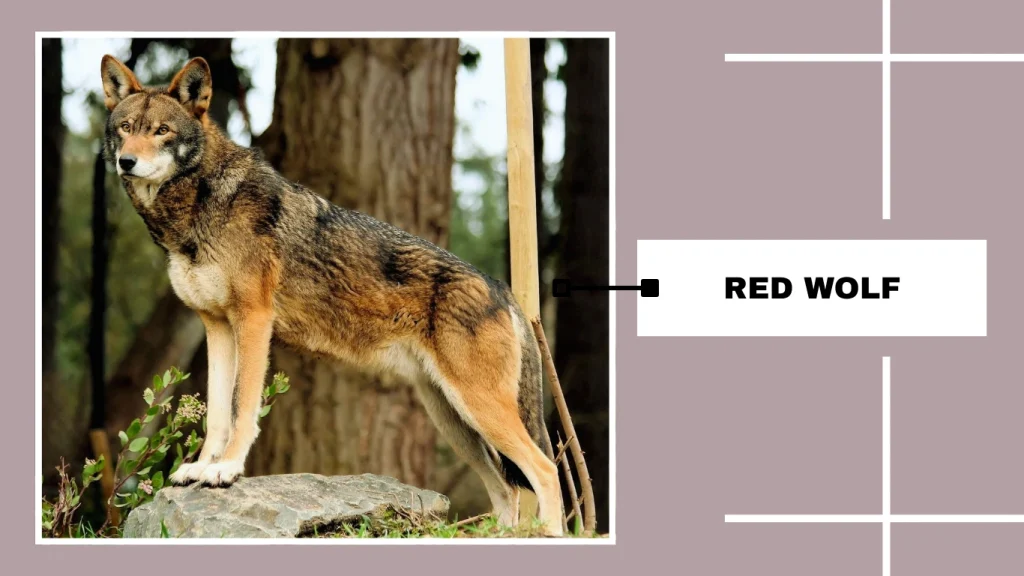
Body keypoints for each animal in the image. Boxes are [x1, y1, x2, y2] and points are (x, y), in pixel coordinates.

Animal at [99, 54, 564, 536]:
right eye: (126, 127)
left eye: (162, 131)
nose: (126, 161)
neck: (201, 203)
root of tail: (501, 289)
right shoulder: (217, 327)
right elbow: (217, 412)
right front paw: (203, 468)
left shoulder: (254, 320)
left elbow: (242, 407)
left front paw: (226, 470)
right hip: (455, 421)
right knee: (507, 489)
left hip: (479, 411)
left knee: (545, 471)